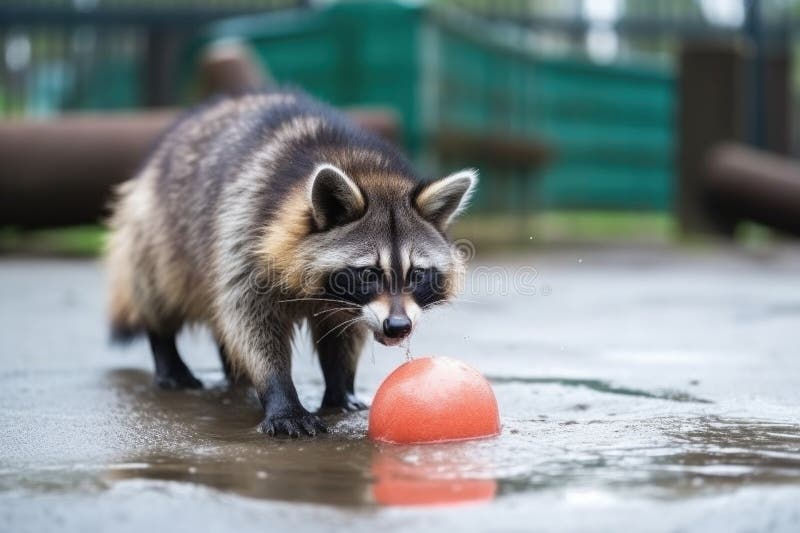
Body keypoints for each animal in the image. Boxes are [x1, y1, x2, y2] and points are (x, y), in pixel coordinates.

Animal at [106, 89, 477, 437]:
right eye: (369, 273)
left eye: (417, 275)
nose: (398, 327)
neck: (362, 168)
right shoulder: (244, 234)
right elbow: (251, 322)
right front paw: (280, 394)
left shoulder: (349, 305)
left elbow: (342, 335)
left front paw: (340, 385)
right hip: (159, 232)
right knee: (160, 290)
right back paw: (166, 350)